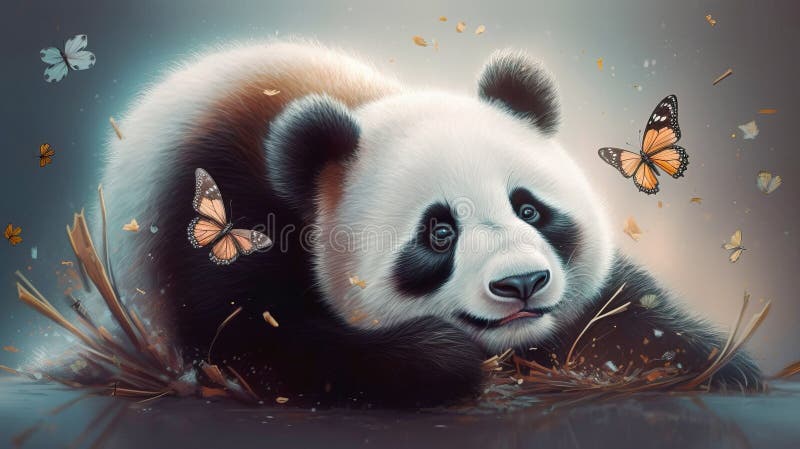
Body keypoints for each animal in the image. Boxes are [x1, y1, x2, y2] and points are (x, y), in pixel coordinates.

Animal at [100, 40, 761, 407]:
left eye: (529, 209)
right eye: (439, 234)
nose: (522, 284)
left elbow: (616, 308)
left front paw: (721, 363)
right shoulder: (219, 218)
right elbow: (249, 342)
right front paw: (446, 361)